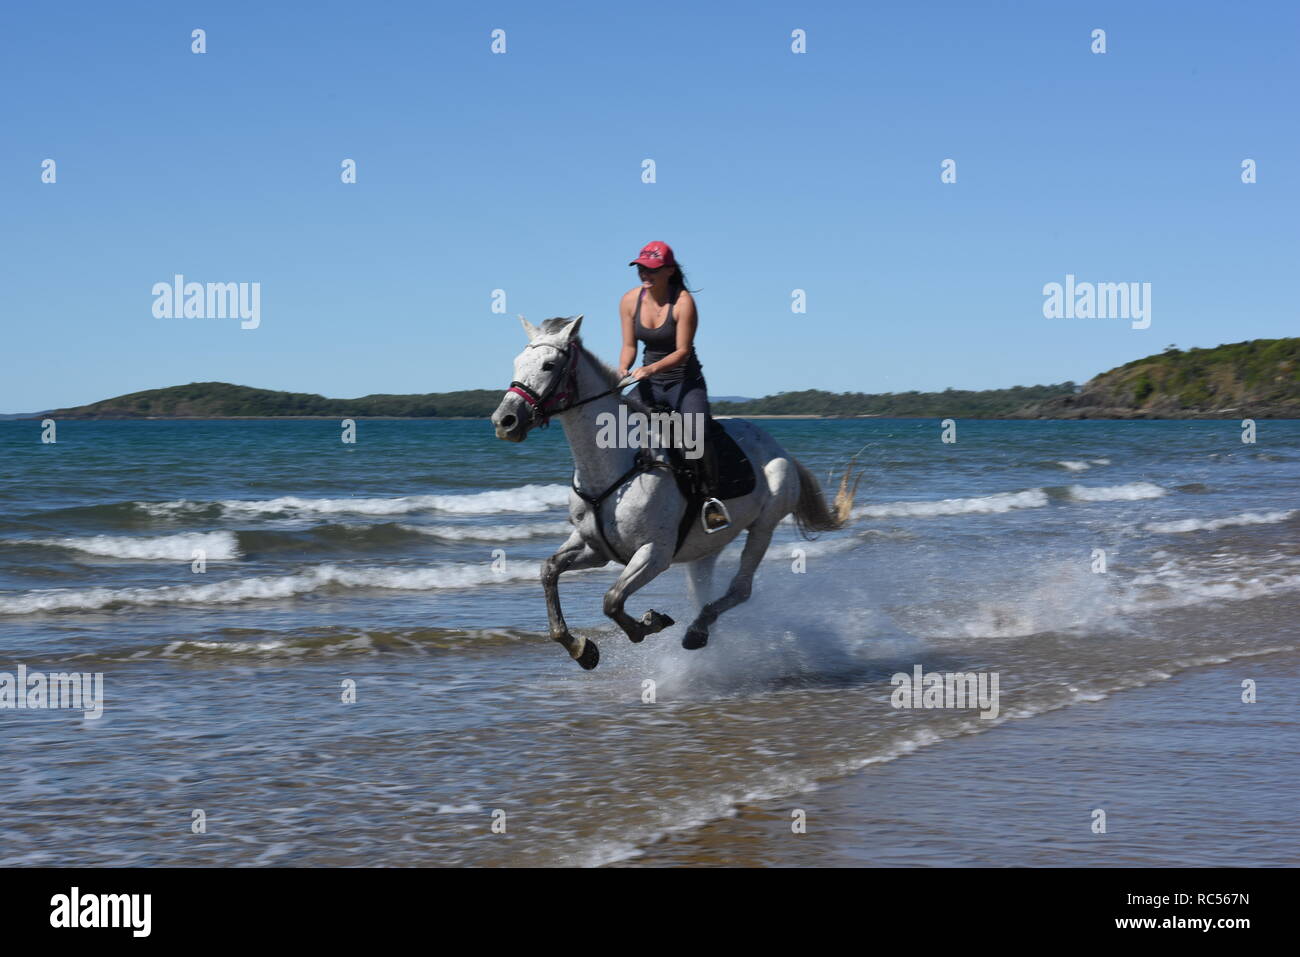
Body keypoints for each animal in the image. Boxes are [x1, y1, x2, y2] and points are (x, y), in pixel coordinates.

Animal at [490, 315, 861, 670]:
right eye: (517, 361)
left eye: (548, 365)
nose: (504, 420)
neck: (615, 464)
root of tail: (777, 446)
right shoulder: (594, 547)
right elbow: (549, 571)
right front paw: (581, 649)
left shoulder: (654, 553)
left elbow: (612, 600)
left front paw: (648, 623)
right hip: (705, 548)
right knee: (705, 590)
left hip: (764, 526)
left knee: (740, 589)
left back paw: (697, 632)